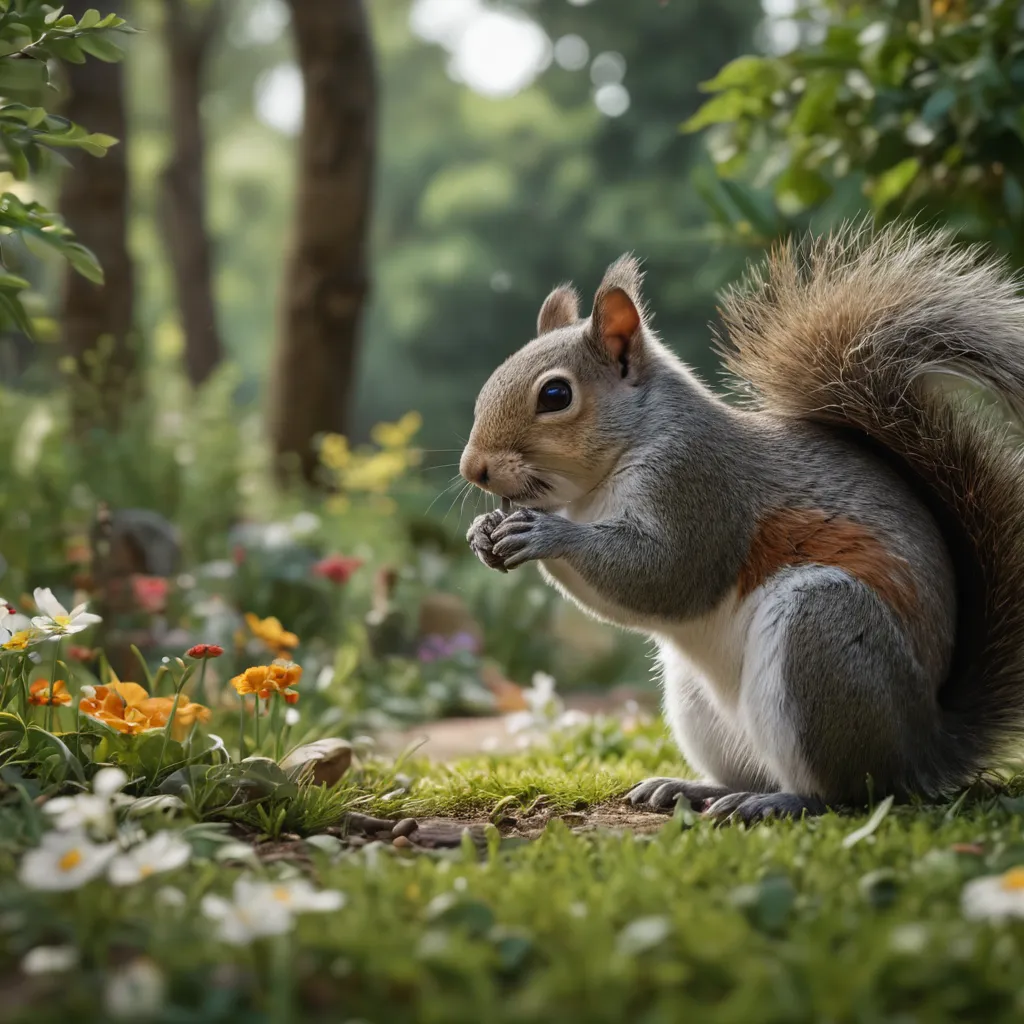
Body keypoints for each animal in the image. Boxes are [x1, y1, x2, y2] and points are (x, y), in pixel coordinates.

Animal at [459, 223, 1024, 823]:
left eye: (556, 394)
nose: (473, 468)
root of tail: (925, 746)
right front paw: (483, 533)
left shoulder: (697, 486)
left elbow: (667, 576)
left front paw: (546, 535)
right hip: (697, 700)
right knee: (746, 768)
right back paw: (691, 788)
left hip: (822, 631)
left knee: (846, 791)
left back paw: (776, 801)